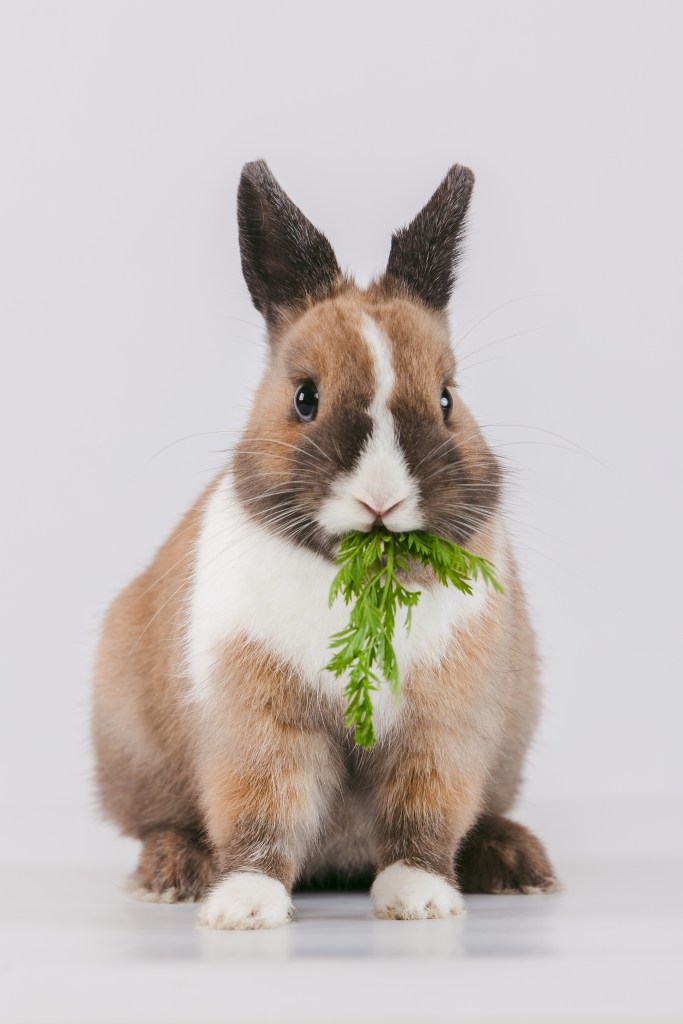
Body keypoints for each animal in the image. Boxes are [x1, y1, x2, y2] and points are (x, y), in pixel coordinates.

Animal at [92, 159, 558, 929]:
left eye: (447, 398)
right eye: (303, 398)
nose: (381, 498)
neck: (366, 581)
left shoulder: (444, 726)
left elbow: (427, 808)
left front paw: (419, 899)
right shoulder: (258, 721)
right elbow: (261, 808)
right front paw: (243, 906)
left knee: (483, 813)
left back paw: (517, 864)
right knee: (160, 821)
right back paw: (173, 872)